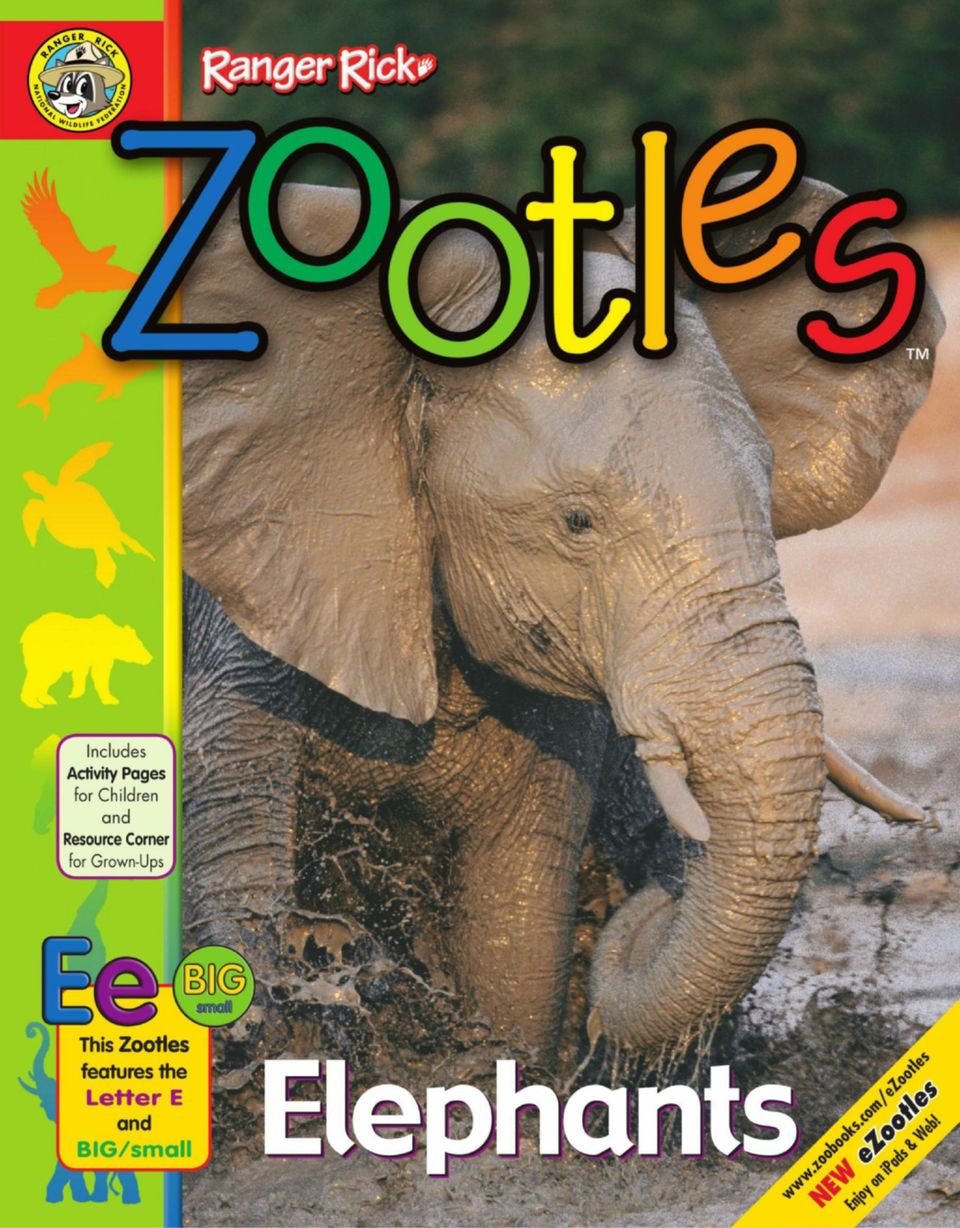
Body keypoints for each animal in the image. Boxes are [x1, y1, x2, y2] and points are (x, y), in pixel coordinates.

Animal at [181, 172, 942, 1066]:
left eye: (766, 489)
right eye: (578, 522)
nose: (651, 895)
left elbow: (516, 936)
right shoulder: (244, 618)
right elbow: (239, 880)